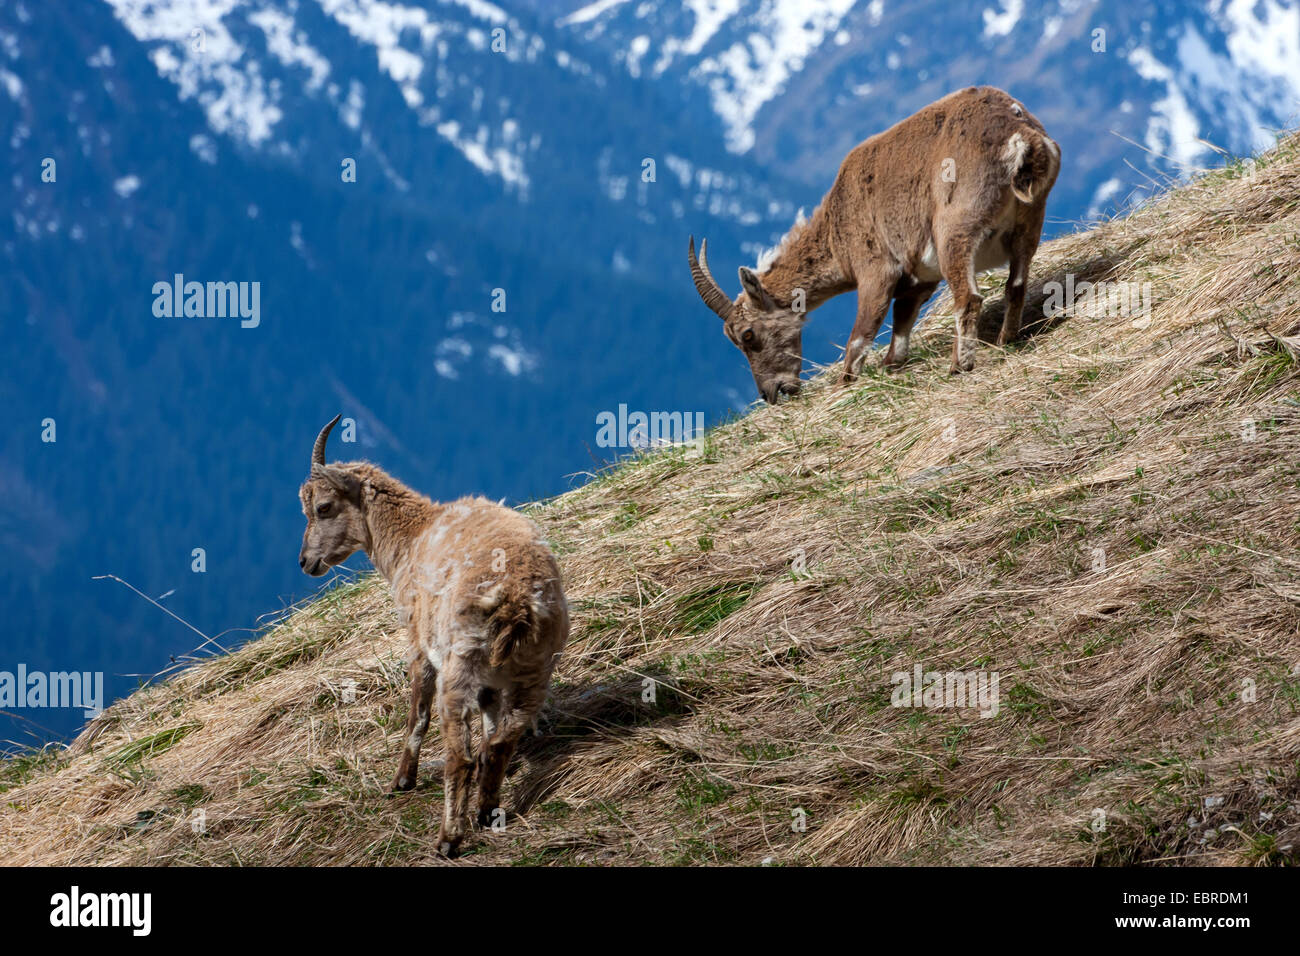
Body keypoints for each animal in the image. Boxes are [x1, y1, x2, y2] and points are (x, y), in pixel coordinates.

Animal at [297, 415, 569, 856]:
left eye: (323, 507)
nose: (306, 561)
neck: (413, 535)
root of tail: (517, 602)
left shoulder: (419, 642)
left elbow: (417, 713)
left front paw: (401, 780)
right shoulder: (492, 683)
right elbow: (489, 726)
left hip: (459, 667)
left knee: (459, 758)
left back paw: (448, 838)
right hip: (535, 670)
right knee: (500, 743)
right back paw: (486, 811)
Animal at [689, 86, 1060, 402]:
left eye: (748, 335)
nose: (773, 393)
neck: (836, 231)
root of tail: (1020, 134)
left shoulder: (876, 270)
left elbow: (859, 336)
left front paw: (843, 387)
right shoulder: (919, 276)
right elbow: (902, 321)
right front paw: (891, 365)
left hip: (954, 230)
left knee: (969, 298)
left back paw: (959, 366)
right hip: (1029, 222)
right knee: (1016, 284)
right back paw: (1005, 340)